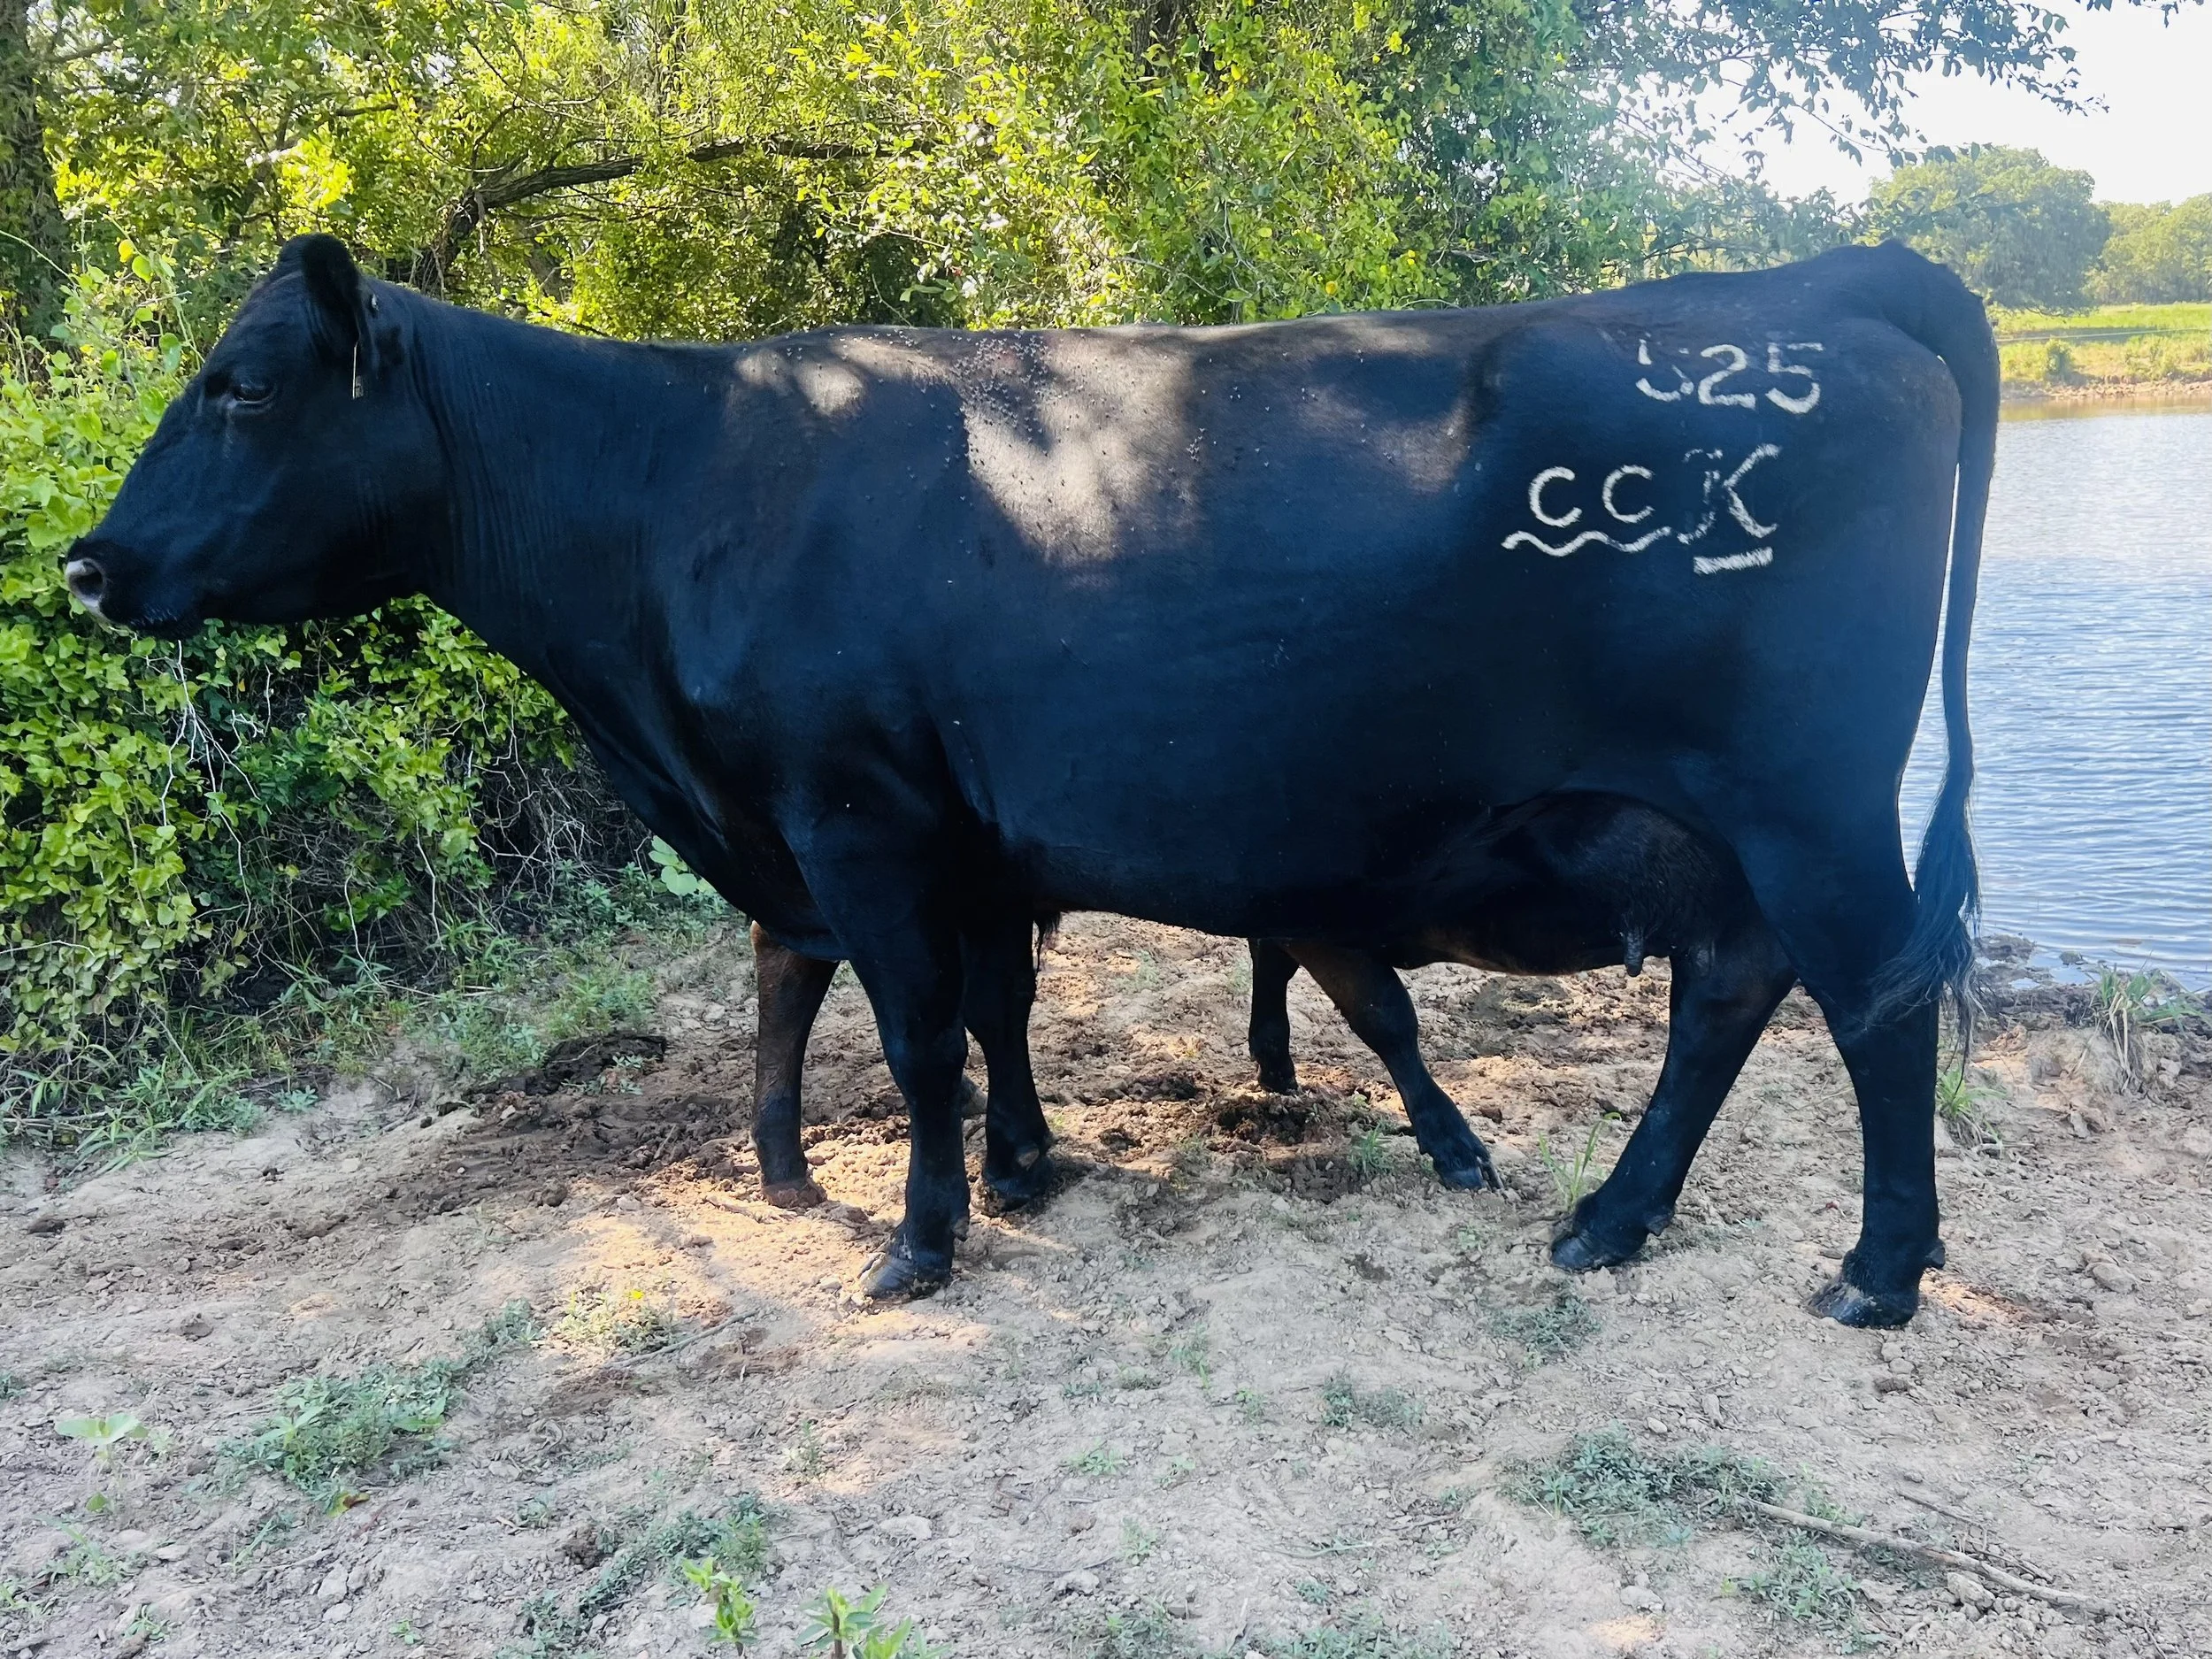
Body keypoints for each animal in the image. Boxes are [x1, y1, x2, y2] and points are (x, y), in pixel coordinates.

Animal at [69, 233, 1995, 1326]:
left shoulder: (854, 818)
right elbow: (995, 1009)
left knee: (1866, 1000)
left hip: (1806, 802)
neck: (681, 487)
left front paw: (921, 1242)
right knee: (1728, 990)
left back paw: (1879, 1272)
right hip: (1706, 829)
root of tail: (1804, 287)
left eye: (240, 383)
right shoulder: (967, 837)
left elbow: (918, 1034)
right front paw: (1026, 1167)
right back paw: (1611, 1219)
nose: (86, 565)